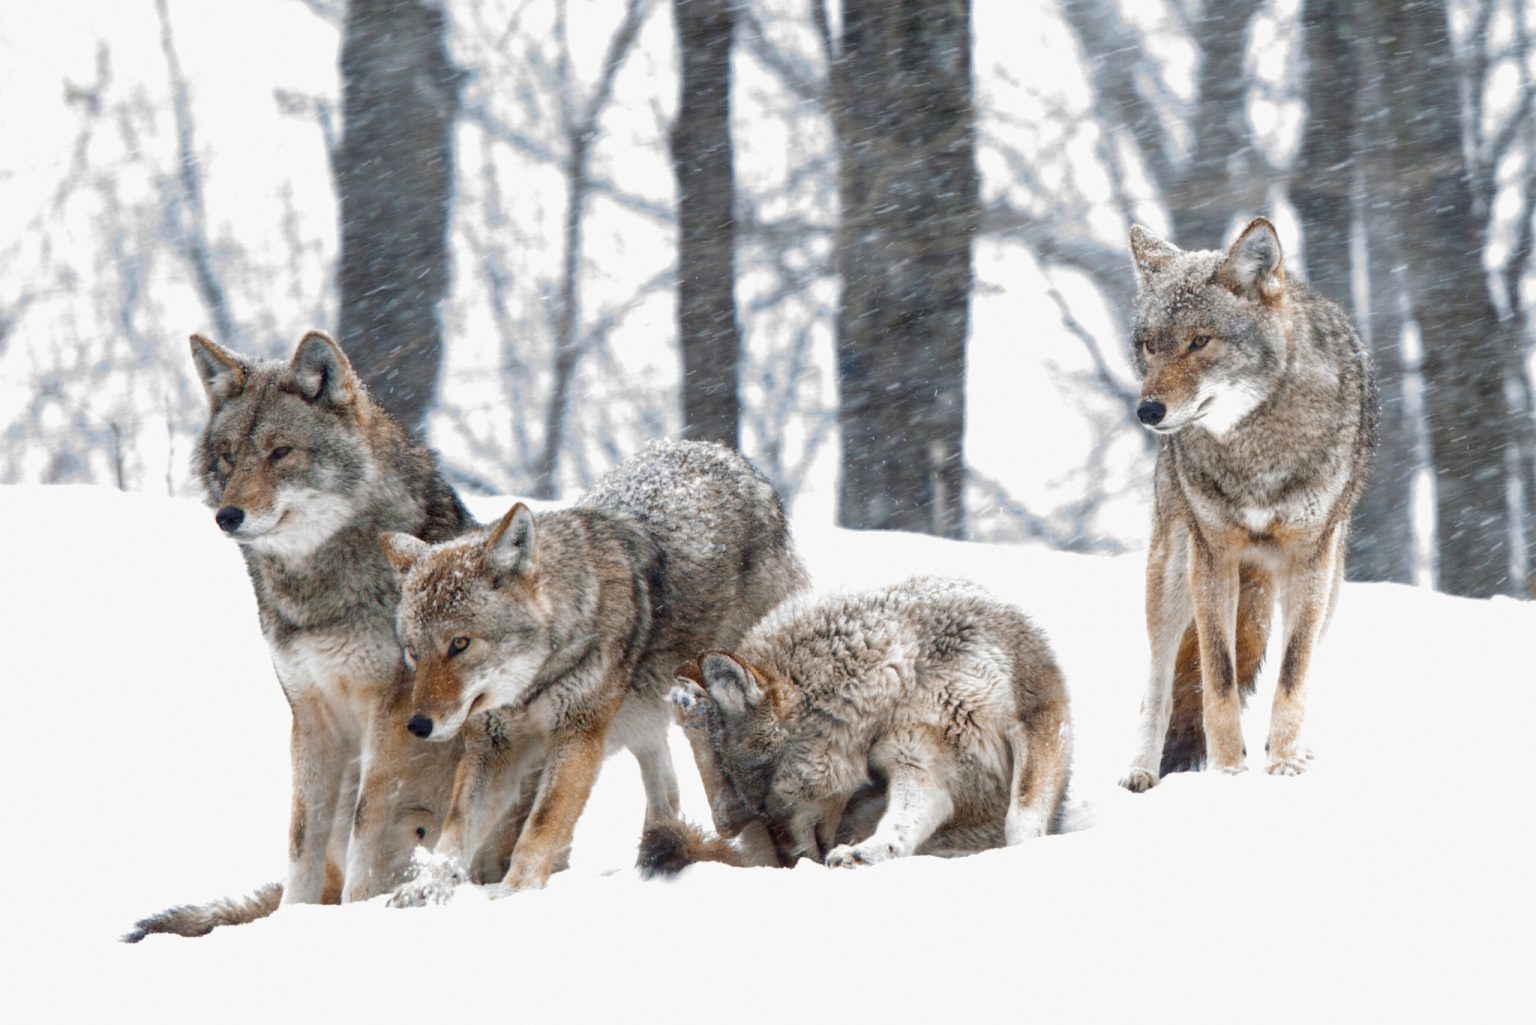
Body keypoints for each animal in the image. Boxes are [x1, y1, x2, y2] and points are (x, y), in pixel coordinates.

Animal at [126, 331, 475, 941]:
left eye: (280, 452)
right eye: (229, 457)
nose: (227, 516)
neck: (319, 592)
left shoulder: (391, 714)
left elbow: (367, 829)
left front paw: (356, 918)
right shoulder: (308, 712)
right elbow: (299, 838)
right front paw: (293, 924)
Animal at [381, 440, 808, 903]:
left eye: (460, 644)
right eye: (414, 653)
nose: (418, 725)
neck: (532, 686)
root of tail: (720, 451)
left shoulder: (578, 737)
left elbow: (541, 824)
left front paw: (516, 892)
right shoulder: (492, 748)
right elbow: (457, 830)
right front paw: (424, 890)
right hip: (640, 717)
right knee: (666, 785)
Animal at [666, 577, 1073, 870]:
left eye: (770, 802)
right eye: (761, 811)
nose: (787, 867)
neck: (909, 673)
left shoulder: (1039, 714)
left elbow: (1022, 817)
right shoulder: (917, 760)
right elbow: (900, 823)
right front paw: (864, 853)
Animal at [1117, 217, 1375, 792]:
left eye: (1200, 341)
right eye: (1149, 345)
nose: (1148, 411)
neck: (1254, 450)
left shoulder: (1309, 557)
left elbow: (1292, 672)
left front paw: (1283, 762)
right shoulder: (1213, 554)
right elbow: (1218, 676)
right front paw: (1228, 771)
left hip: (1329, 580)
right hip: (1172, 570)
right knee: (1157, 684)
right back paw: (1141, 770)